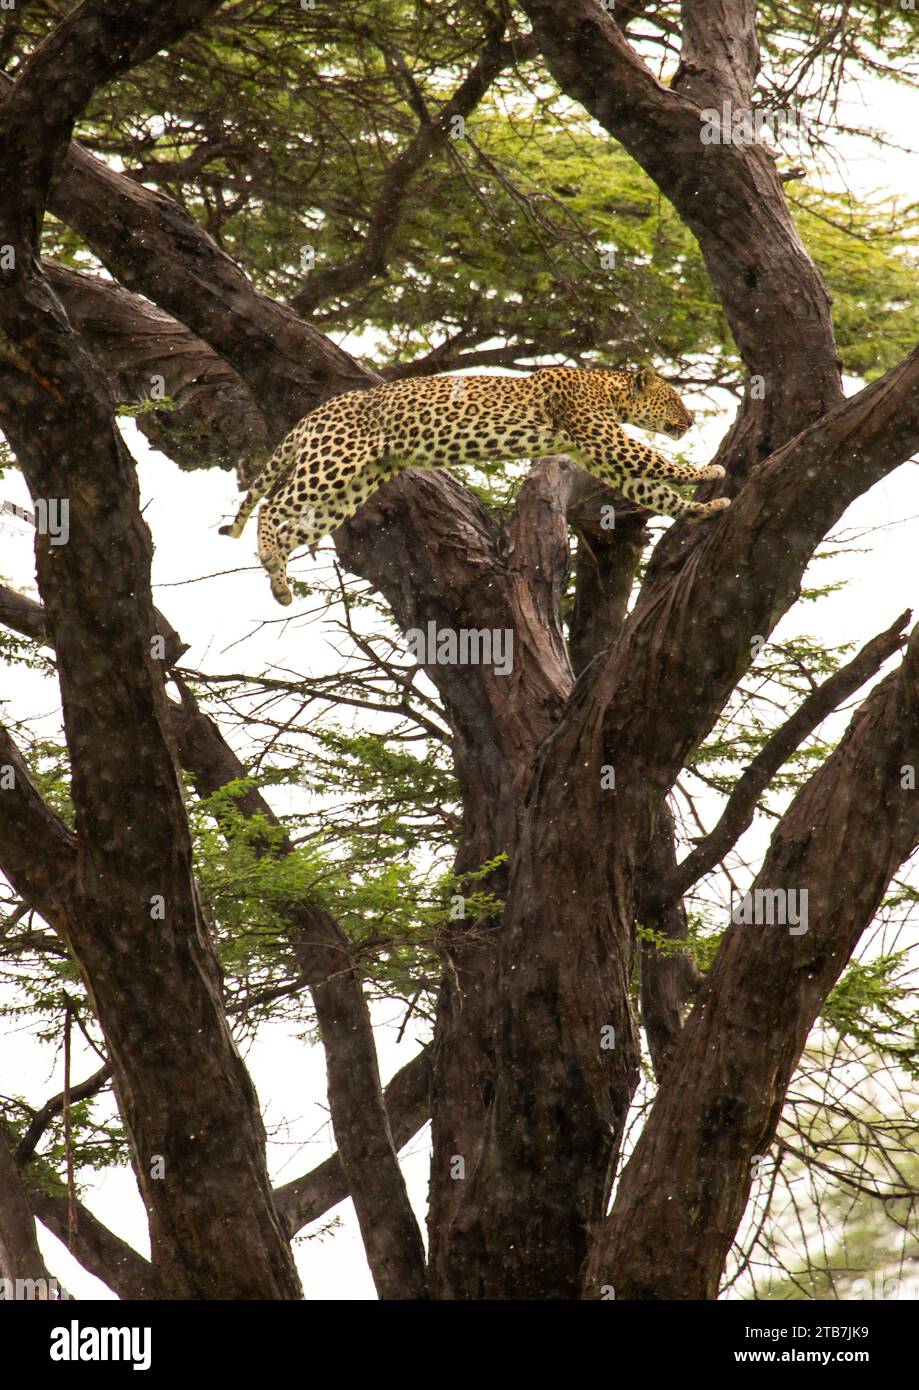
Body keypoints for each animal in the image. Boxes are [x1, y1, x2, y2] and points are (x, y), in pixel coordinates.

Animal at [219, 365, 730, 606]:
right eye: (675, 398)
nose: (689, 421)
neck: (610, 389)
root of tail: (313, 413)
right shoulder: (605, 438)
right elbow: (658, 462)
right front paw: (710, 474)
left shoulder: (600, 452)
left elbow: (653, 489)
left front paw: (706, 509)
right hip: (332, 463)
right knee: (271, 507)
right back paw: (271, 560)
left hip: (351, 487)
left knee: (291, 526)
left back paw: (279, 582)